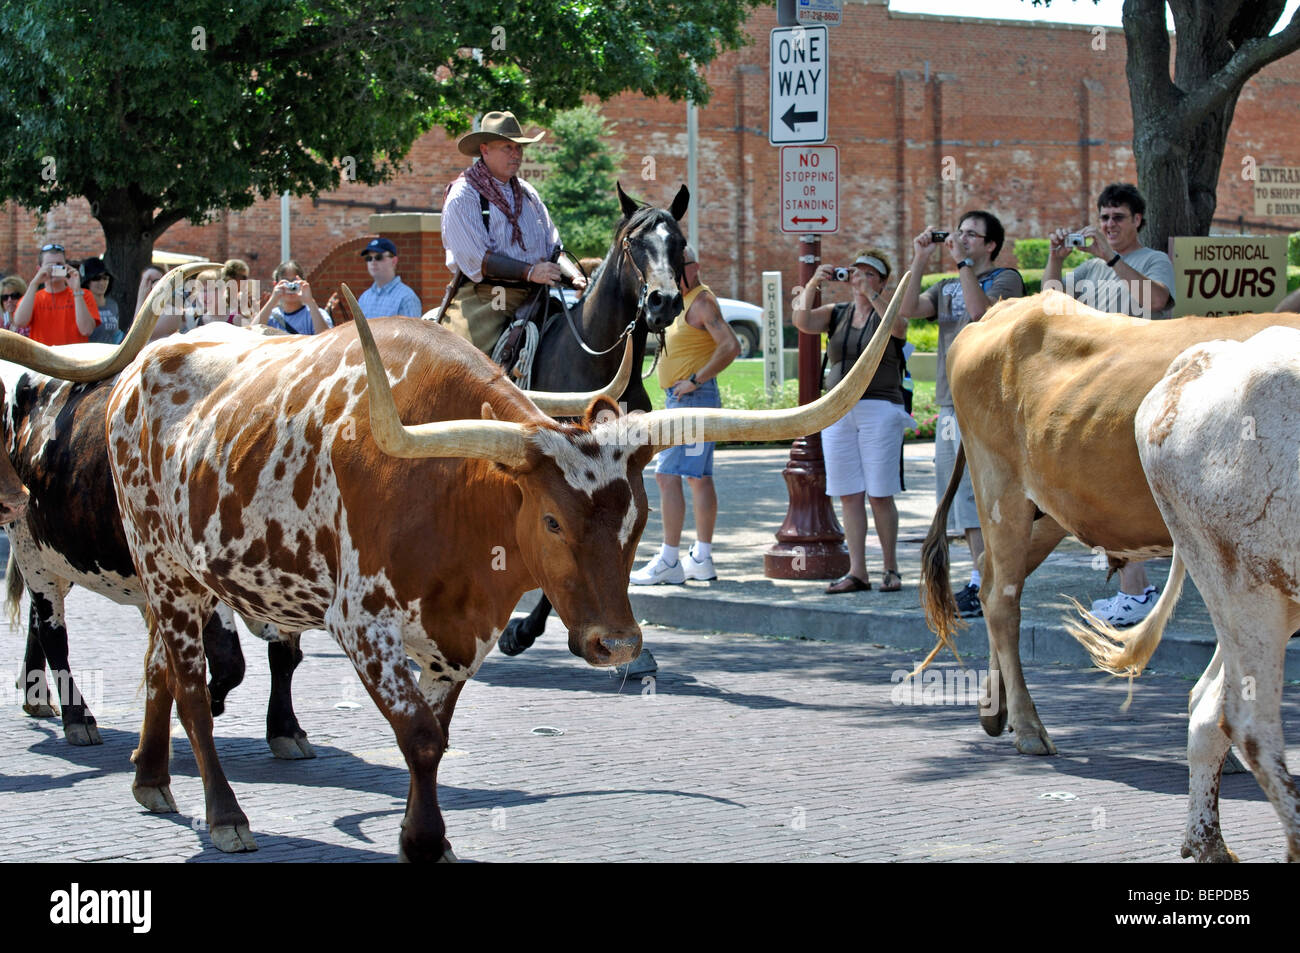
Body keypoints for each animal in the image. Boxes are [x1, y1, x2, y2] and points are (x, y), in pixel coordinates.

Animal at [103, 277, 908, 860]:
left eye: (640, 517)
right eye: (551, 520)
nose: (618, 644)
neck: (452, 486)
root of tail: (137, 370)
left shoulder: (464, 633)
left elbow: (435, 734)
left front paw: (420, 837)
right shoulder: (363, 623)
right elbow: (418, 735)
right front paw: (426, 841)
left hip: (180, 582)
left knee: (157, 669)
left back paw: (150, 780)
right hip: (165, 568)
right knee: (193, 691)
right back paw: (224, 815)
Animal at [920, 290, 1300, 756]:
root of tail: (1008, 307)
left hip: (1048, 508)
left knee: (991, 579)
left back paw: (994, 710)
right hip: (999, 491)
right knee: (1001, 601)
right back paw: (1027, 726)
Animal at [1071, 326, 1300, 862]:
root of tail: (1206, 356)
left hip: (1253, 593)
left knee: (1206, 707)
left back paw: (1207, 841)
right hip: (1248, 587)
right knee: (1247, 723)